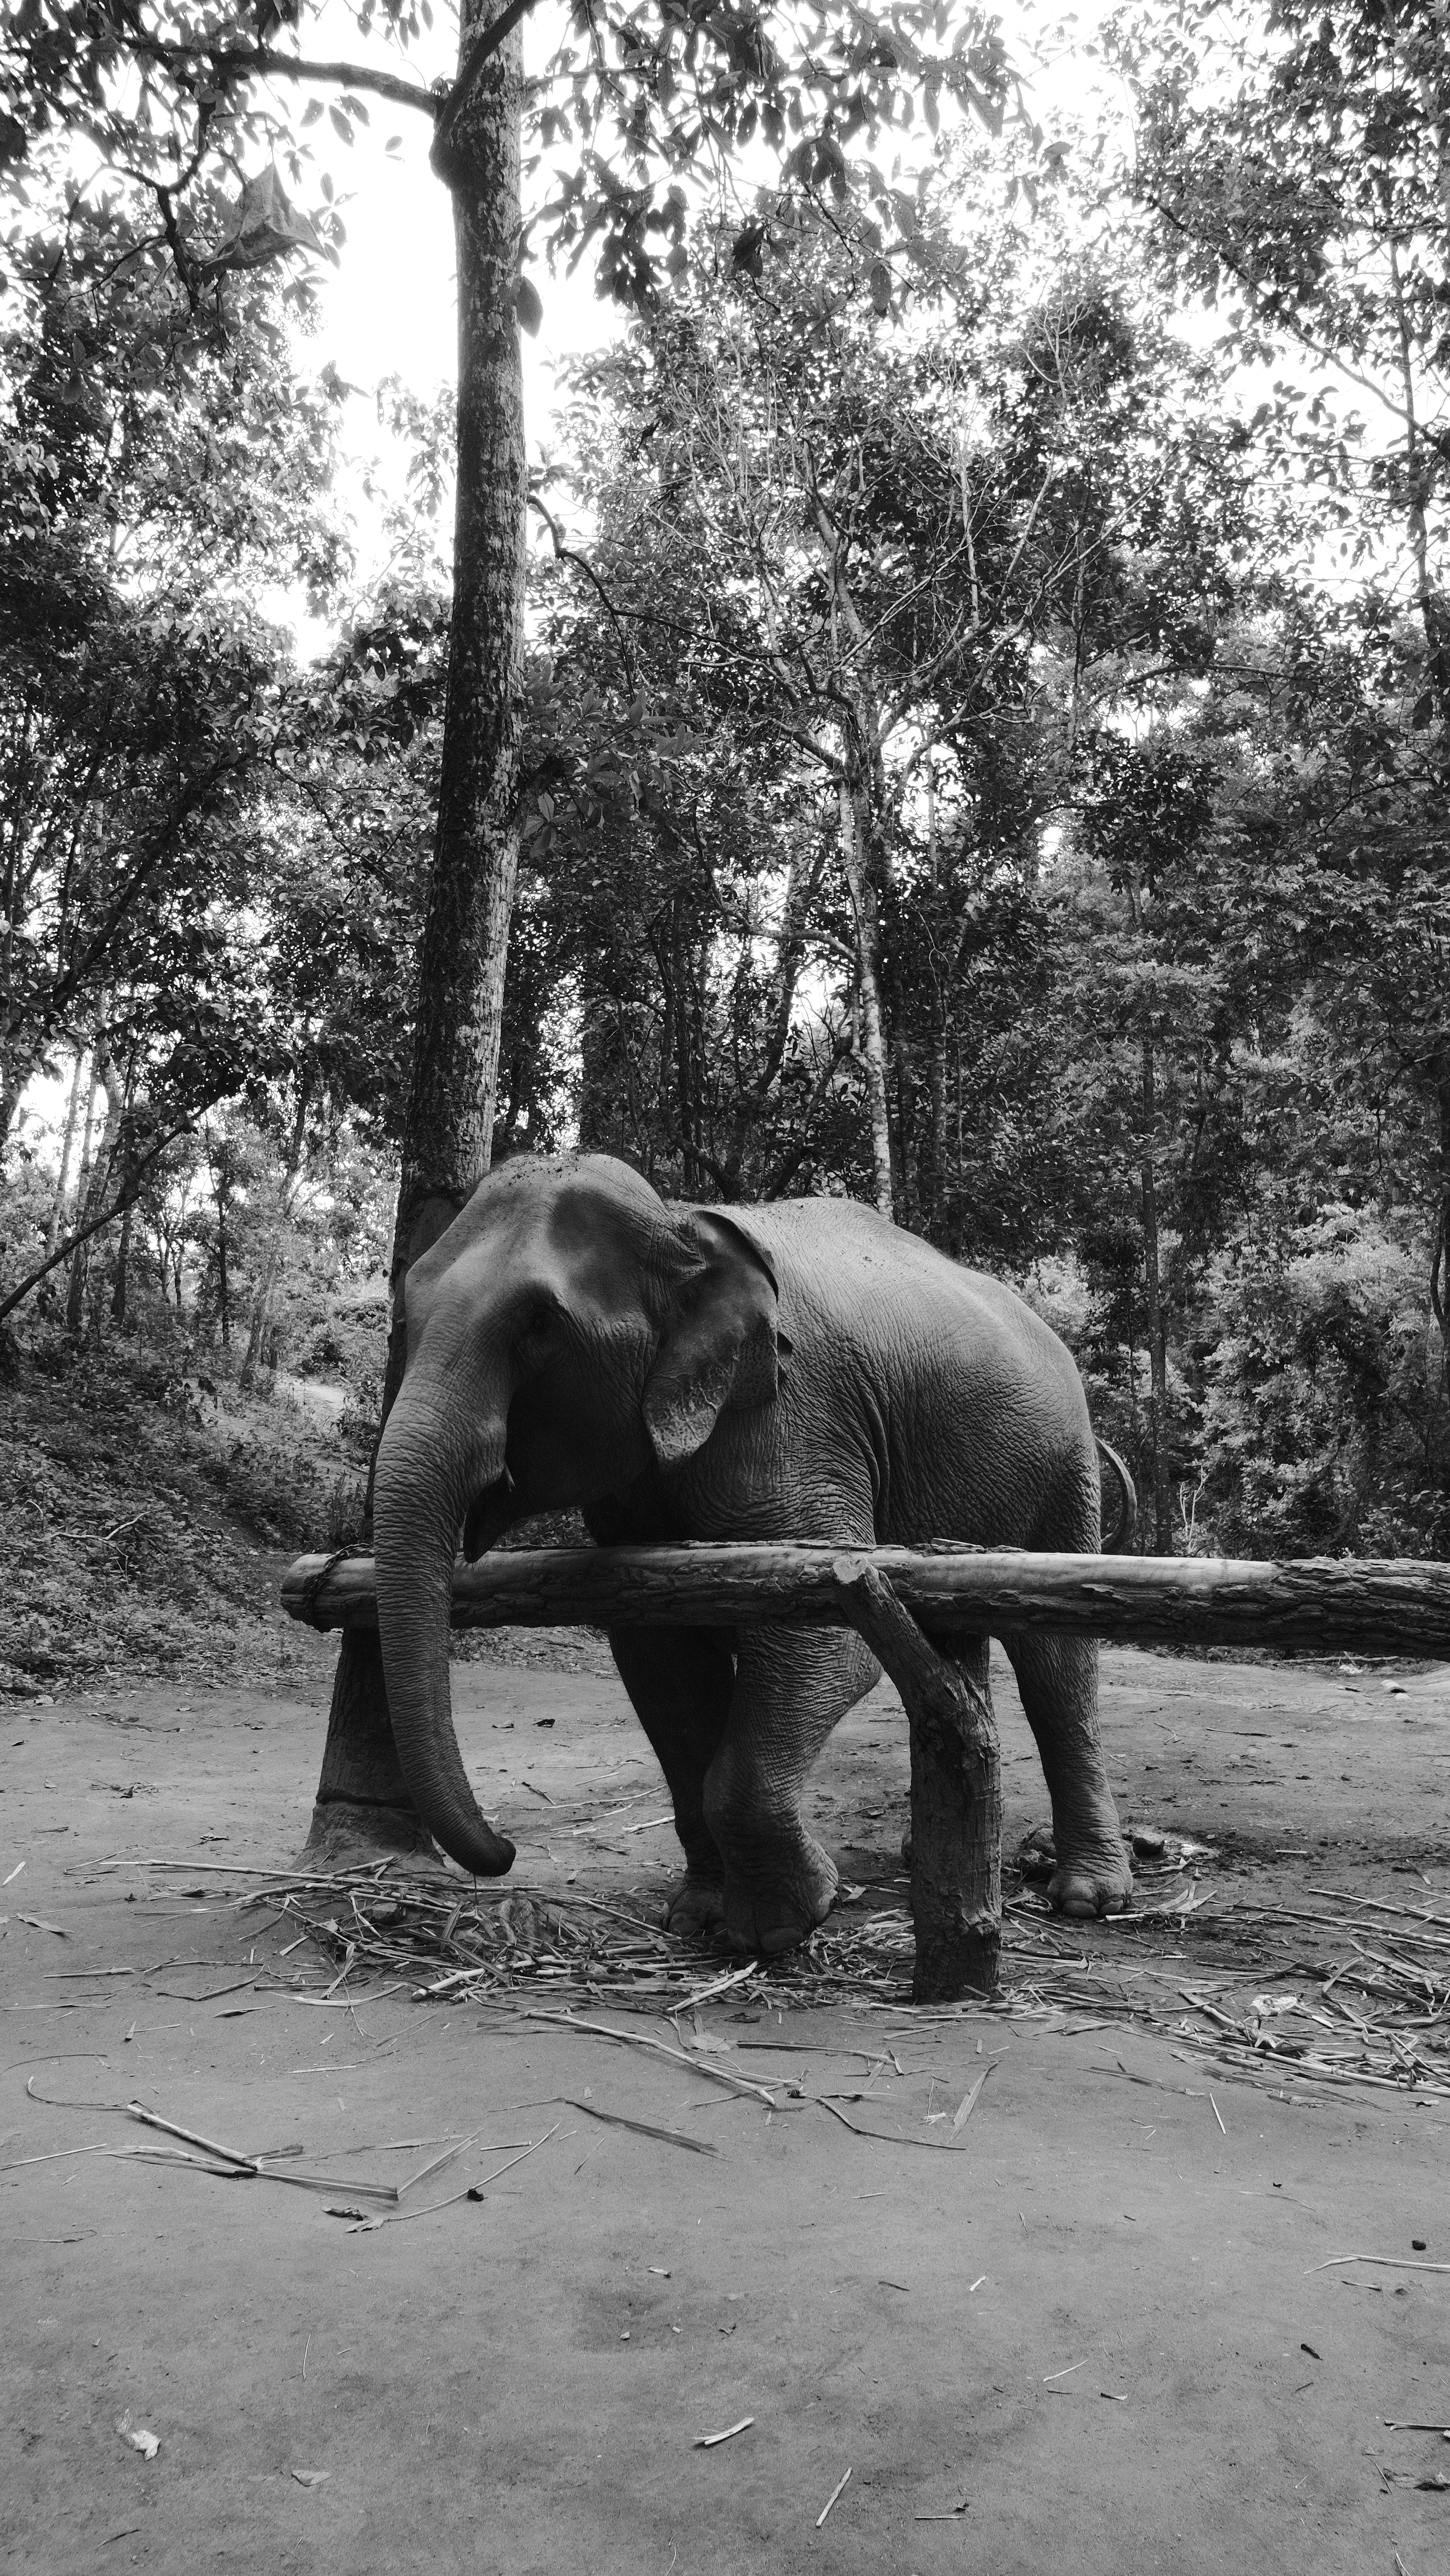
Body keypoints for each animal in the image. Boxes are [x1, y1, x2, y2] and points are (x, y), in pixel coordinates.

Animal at [372, 1151, 1136, 1954]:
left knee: (1055, 1667)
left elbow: (828, 1638)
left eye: (539, 1323)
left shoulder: (796, 1423)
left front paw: (780, 1925)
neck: (677, 1218)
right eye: (406, 1315)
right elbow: (662, 1656)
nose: (506, 1851)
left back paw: (1087, 1897)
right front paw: (697, 1916)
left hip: (1064, 1473)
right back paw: (931, 1857)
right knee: (956, 1647)